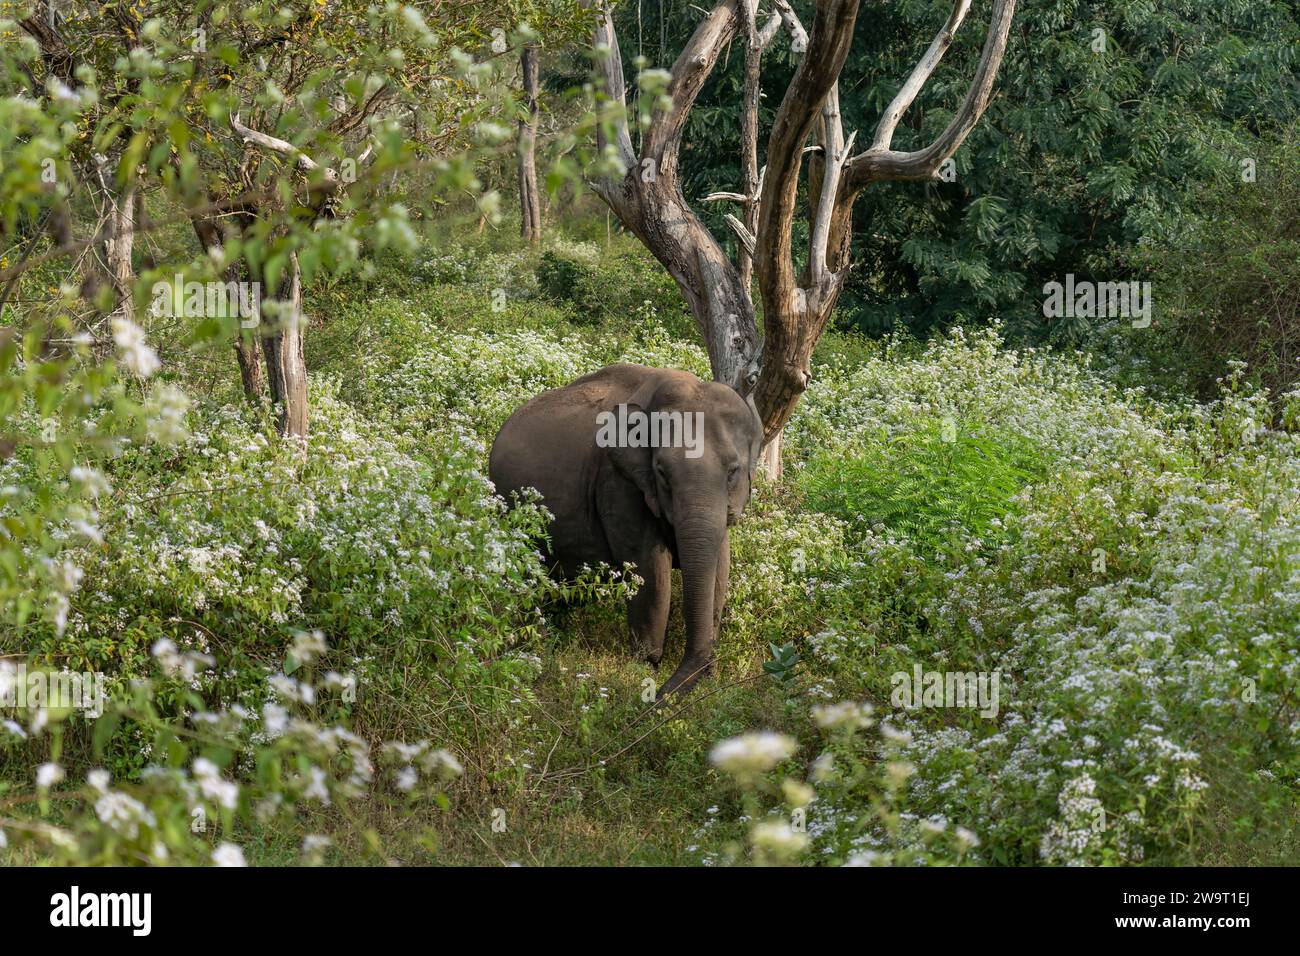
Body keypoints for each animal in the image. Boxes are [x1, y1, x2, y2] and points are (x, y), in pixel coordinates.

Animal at [489, 363, 763, 698]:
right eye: (662, 473)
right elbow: (649, 568)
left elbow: (721, 568)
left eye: (733, 471)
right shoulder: (618, 482)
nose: (657, 698)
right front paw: (645, 666)